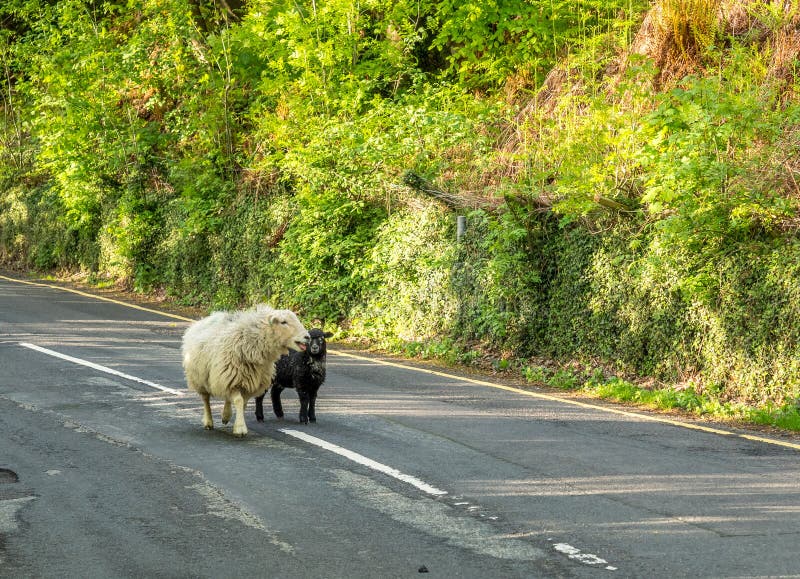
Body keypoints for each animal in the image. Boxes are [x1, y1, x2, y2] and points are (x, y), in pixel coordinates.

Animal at [181, 306, 310, 437]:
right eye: (283, 322)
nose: (307, 337)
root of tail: (206, 318)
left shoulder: (246, 383)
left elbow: (243, 403)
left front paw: (236, 422)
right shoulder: (233, 381)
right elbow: (238, 401)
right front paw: (240, 428)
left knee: (227, 397)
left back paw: (225, 416)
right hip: (200, 378)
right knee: (206, 399)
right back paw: (208, 422)